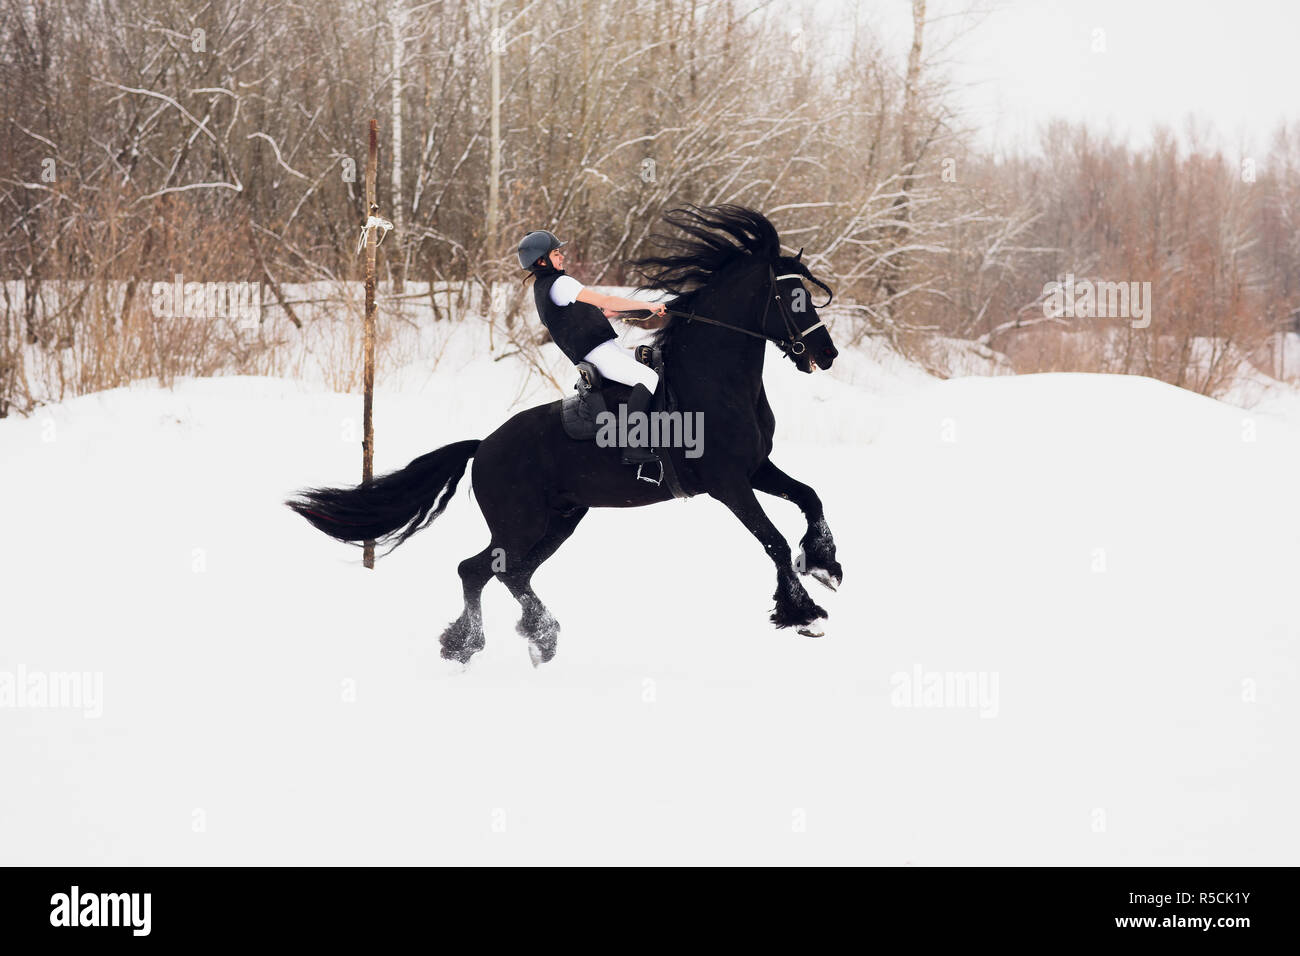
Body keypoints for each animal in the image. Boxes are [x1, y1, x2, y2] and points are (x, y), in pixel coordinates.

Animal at [287, 204, 844, 665]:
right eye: (793, 296)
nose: (828, 354)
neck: (715, 383)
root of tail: (483, 448)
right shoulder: (728, 484)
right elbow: (773, 541)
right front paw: (805, 615)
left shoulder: (756, 468)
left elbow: (810, 498)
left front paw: (824, 566)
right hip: (522, 524)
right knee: (481, 570)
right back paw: (517, 638)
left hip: (560, 520)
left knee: (503, 573)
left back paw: (504, 641)